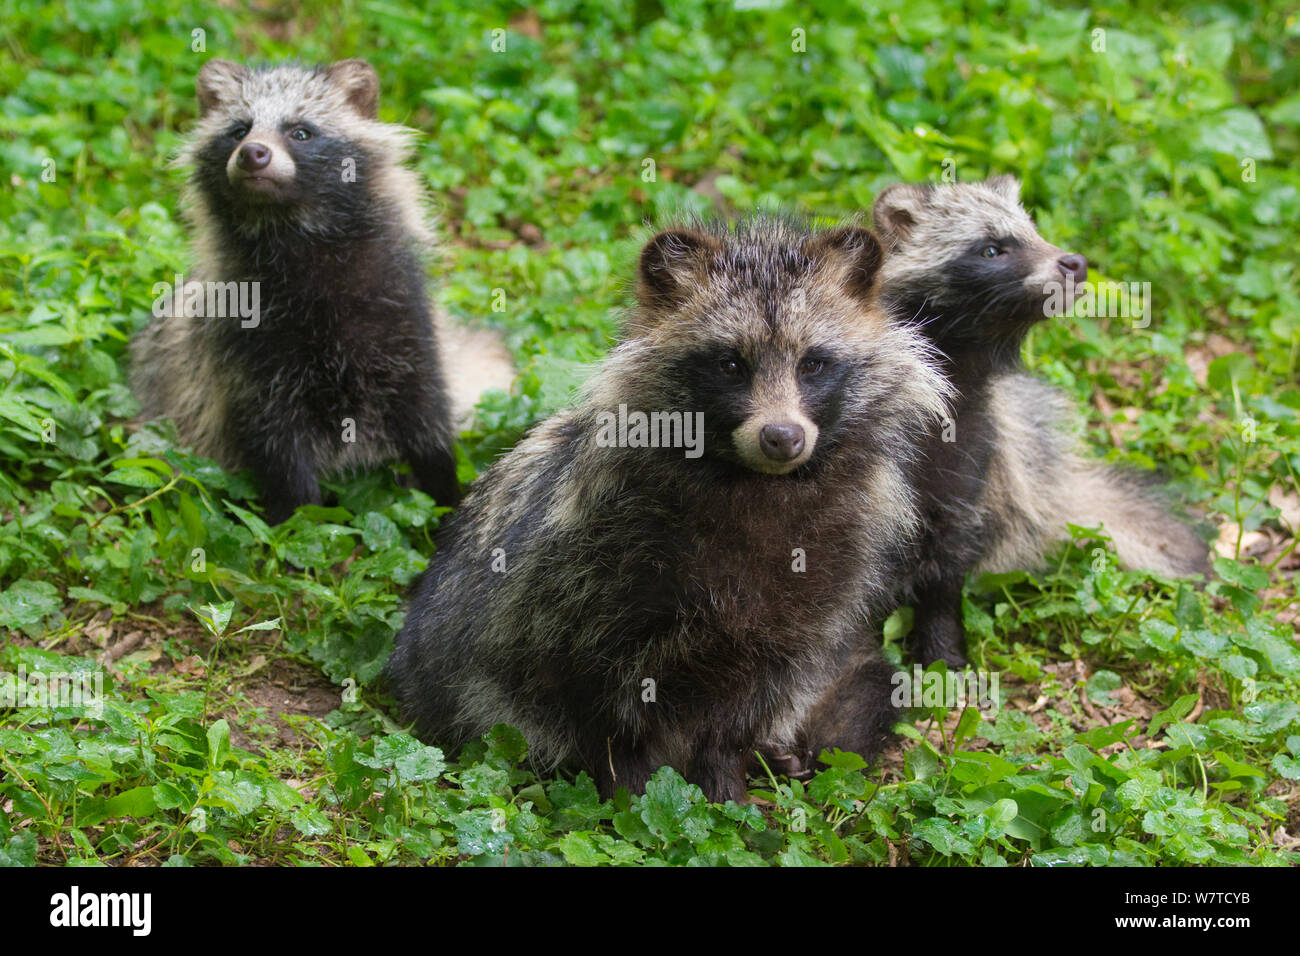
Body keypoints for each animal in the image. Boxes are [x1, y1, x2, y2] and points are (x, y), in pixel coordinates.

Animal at [131, 59, 512, 523]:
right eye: (238, 130)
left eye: (300, 131)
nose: (253, 154)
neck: (296, 238)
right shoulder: (245, 345)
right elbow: (278, 448)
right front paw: (298, 521)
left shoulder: (405, 316)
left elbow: (428, 419)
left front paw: (447, 495)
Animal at [386, 216, 953, 803]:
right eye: (731, 364)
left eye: (813, 364)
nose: (782, 437)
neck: (754, 483)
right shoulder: (588, 563)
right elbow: (590, 684)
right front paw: (631, 786)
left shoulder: (829, 574)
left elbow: (758, 694)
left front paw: (726, 781)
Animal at [872, 175, 1207, 666]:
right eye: (992, 249)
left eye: (1034, 232)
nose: (1075, 263)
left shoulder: (973, 455)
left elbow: (948, 563)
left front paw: (942, 648)